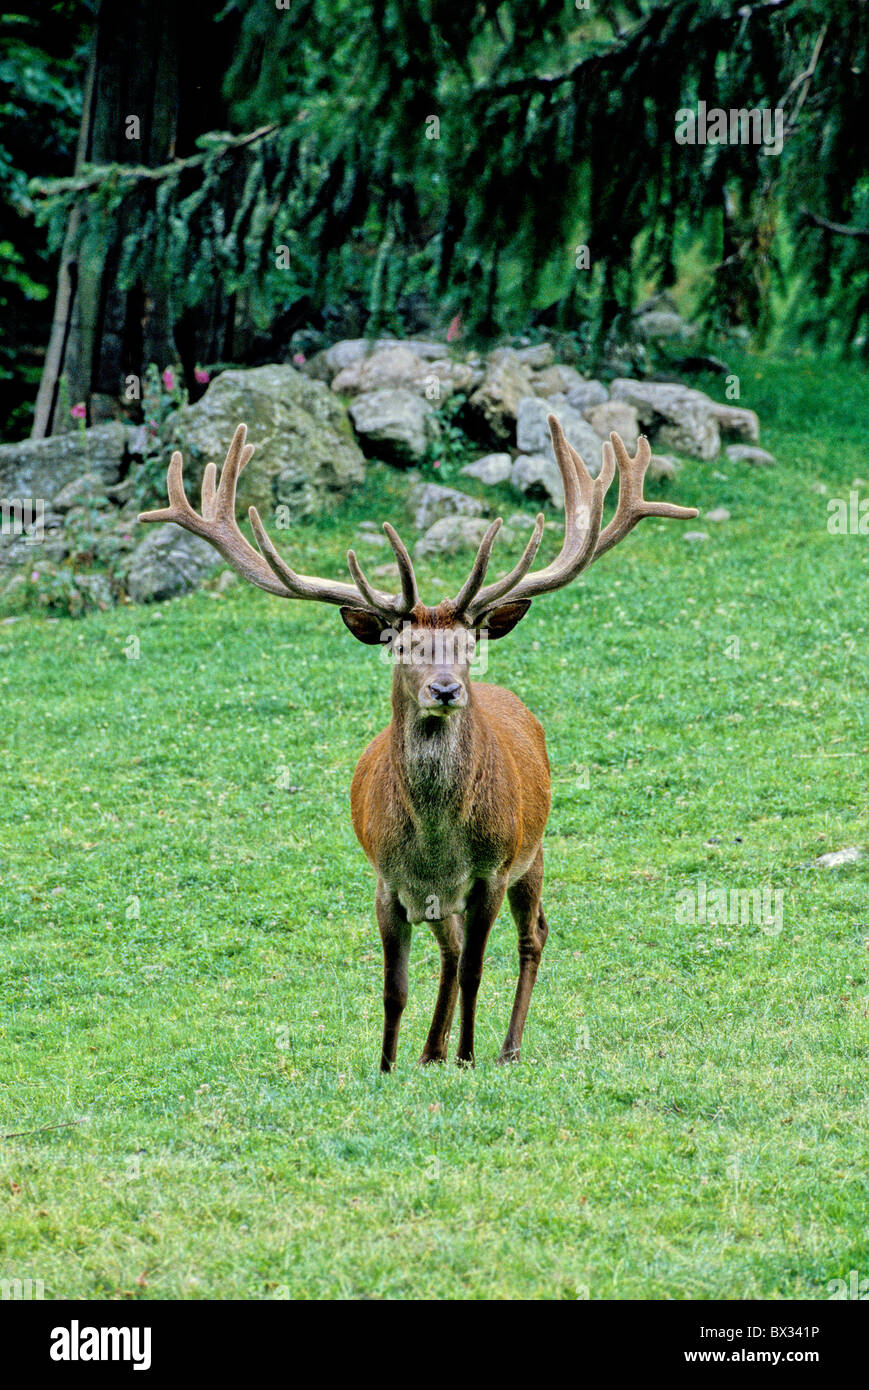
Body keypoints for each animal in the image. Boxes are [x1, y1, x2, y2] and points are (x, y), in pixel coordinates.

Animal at [139, 415, 697, 1070]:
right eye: (402, 645)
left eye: (469, 642)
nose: (447, 688)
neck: (436, 842)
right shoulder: (388, 882)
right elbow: (395, 987)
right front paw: (386, 1067)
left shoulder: (490, 871)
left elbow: (479, 969)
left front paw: (468, 1059)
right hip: (440, 896)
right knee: (451, 950)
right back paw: (430, 1052)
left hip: (533, 849)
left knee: (532, 934)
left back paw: (503, 1048)